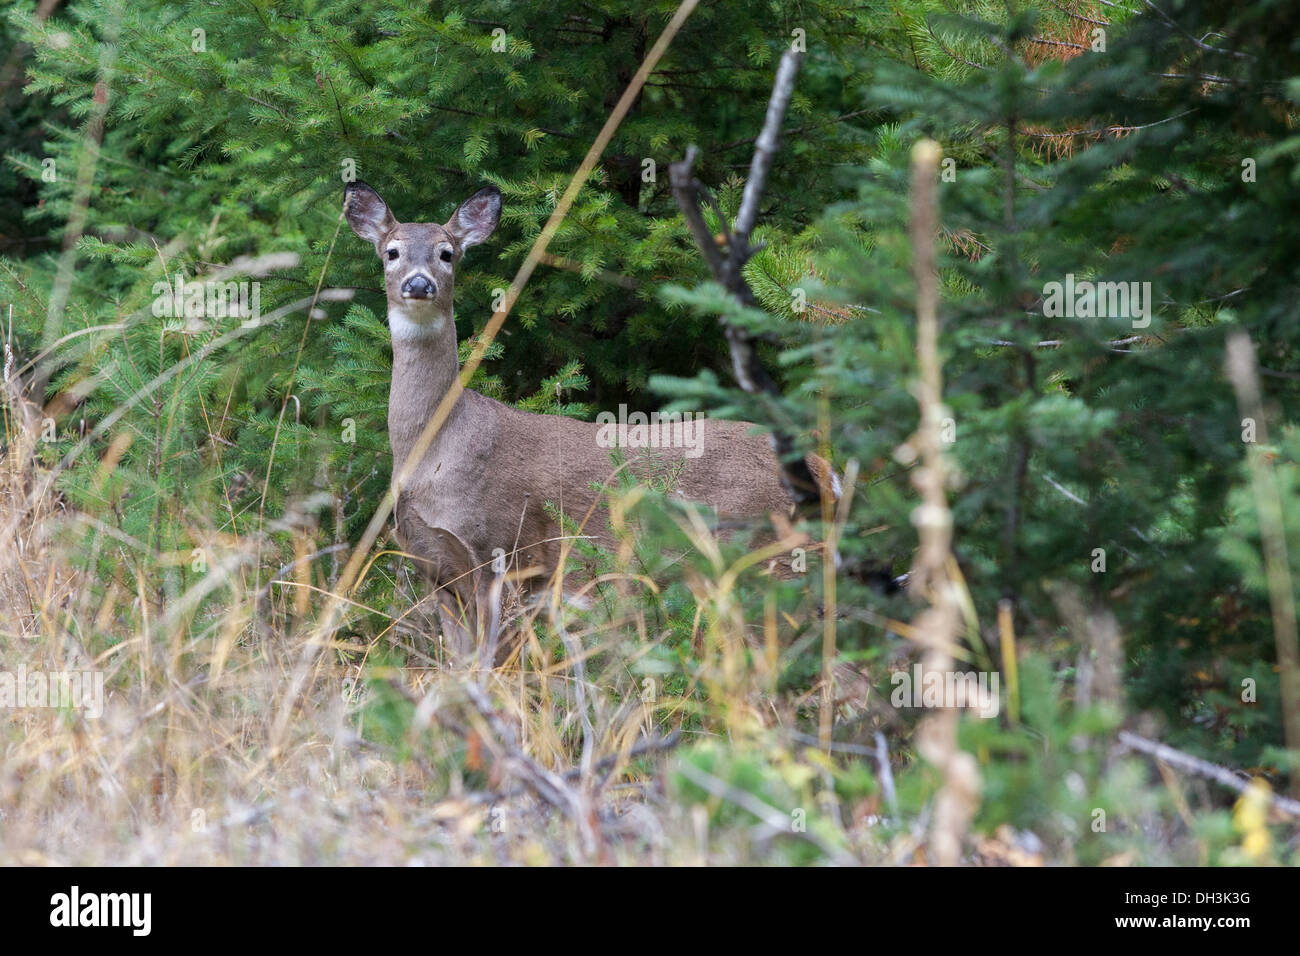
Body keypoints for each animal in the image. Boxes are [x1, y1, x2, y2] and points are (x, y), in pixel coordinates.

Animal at [343, 181, 838, 660]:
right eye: (392, 251)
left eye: (447, 253)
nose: (419, 284)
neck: (434, 451)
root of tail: (825, 471)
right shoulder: (435, 568)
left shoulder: (504, 549)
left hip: (769, 563)